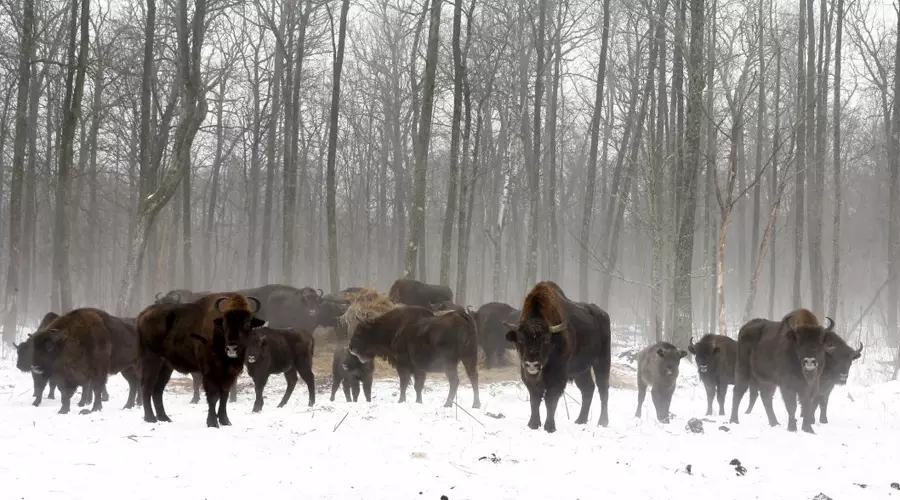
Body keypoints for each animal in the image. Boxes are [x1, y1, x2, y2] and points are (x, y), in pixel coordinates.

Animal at [137, 294, 264, 428]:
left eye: (247, 325)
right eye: (224, 325)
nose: (231, 348)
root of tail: (142, 315)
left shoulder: (229, 374)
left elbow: (224, 395)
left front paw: (225, 421)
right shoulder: (209, 372)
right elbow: (213, 396)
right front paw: (212, 423)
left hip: (166, 367)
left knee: (158, 390)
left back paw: (164, 418)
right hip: (152, 362)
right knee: (146, 387)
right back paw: (150, 418)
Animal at [348, 306, 482, 408]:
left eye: (359, 332)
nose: (350, 347)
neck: (396, 328)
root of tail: (462, 316)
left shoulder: (403, 364)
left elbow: (404, 383)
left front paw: (401, 401)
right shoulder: (419, 369)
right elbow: (418, 386)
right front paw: (419, 402)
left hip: (450, 363)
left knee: (455, 381)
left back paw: (447, 404)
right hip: (469, 358)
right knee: (474, 378)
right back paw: (476, 404)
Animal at [500, 284, 612, 432]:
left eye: (546, 340)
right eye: (520, 339)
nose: (532, 364)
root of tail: (603, 314)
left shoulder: (558, 375)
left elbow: (550, 399)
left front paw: (549, 427)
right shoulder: (527, 375)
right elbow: (535, 398)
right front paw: (533, 424)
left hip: (602, 361)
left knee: (603, 389)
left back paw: (602, 422)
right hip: (581, 371)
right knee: (588, 389)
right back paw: (580, 420)